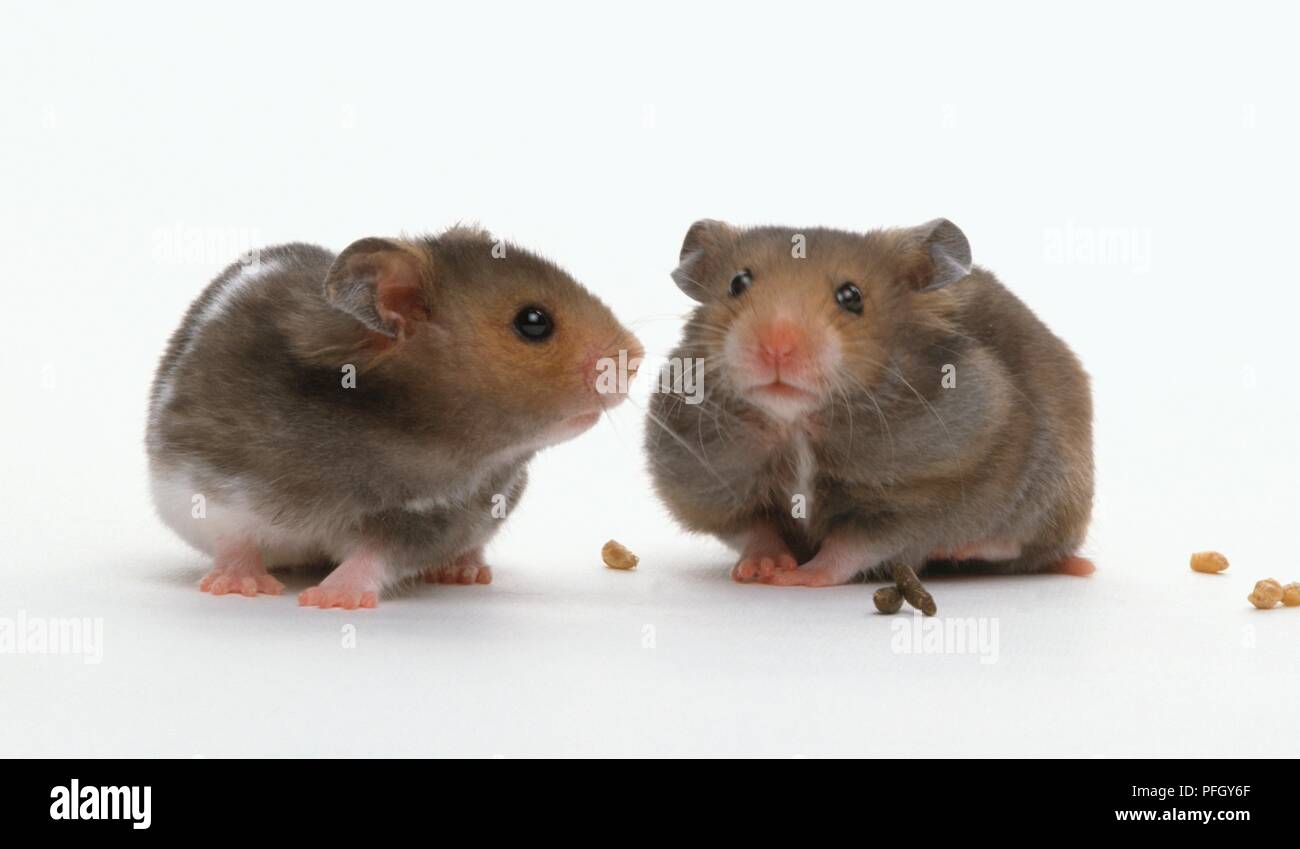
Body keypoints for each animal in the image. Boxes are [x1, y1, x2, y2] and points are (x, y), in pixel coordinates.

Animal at [148, 227, 642, 608]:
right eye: (533, 322)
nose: (636, 357)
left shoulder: (432, 520)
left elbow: (373, 557)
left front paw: (330, 599)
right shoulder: (207, 478)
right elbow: (234, 536)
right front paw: (240, 587)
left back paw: (464, 572)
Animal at [645, 218, 1093, 587]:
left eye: (851, 296)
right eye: (737, 283)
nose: (776, 347)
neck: (797, 423)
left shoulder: (925, 495)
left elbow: (856, 544)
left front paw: (800, 578)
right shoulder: (710, 484)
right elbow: (754, 529)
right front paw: (762, 569)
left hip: (1057, 490)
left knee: (1024, 544)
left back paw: (960, 548)